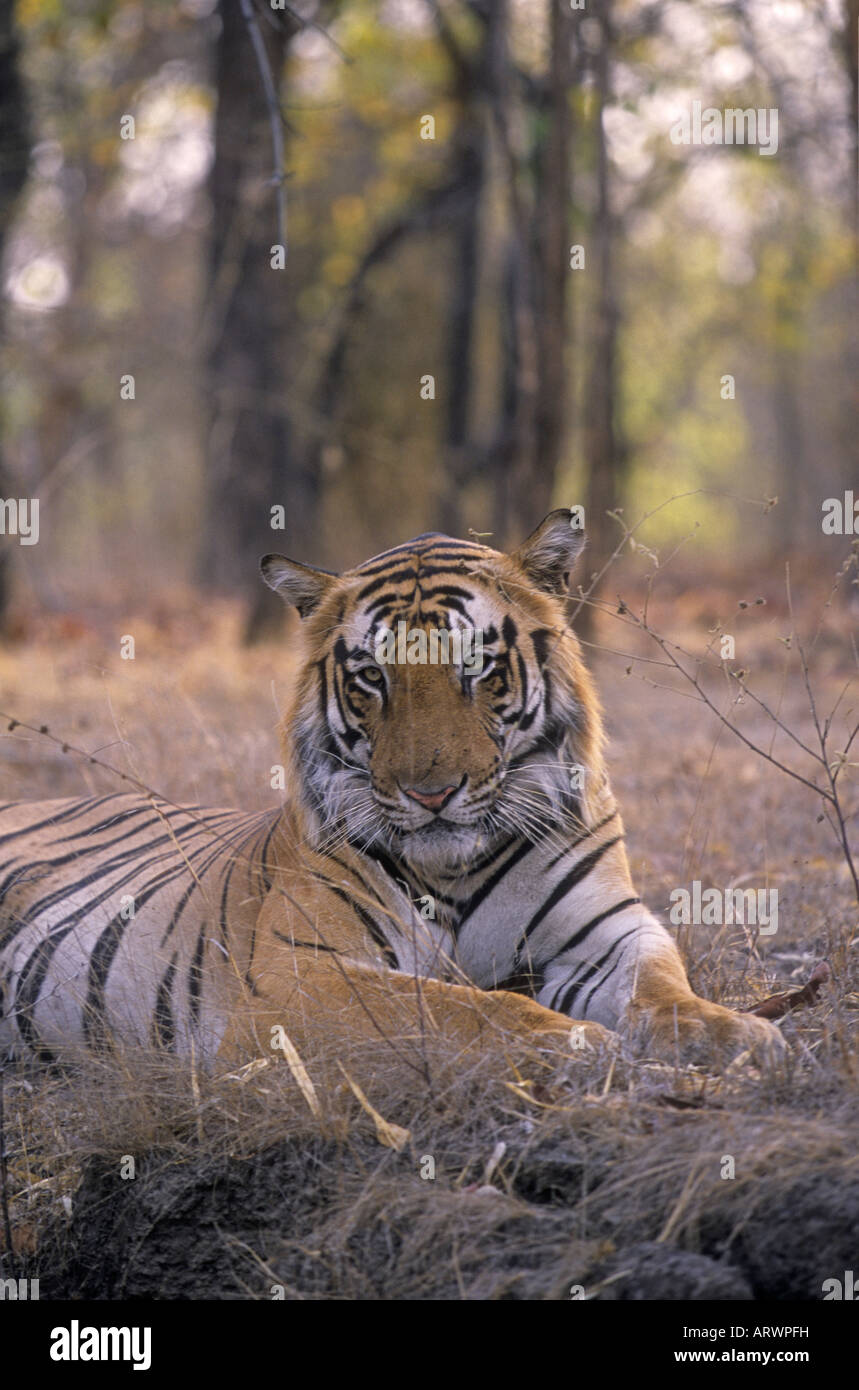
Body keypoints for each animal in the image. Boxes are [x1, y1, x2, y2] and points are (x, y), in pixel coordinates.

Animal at [0, 511, 783, 1073]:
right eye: (373, 677)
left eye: (476, 665)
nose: (431, 794)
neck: (457, 867)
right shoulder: (297, 973)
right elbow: (457, 1008)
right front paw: (577, 1043)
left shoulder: (608, 931)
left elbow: (661, 986)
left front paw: (733, 1033)